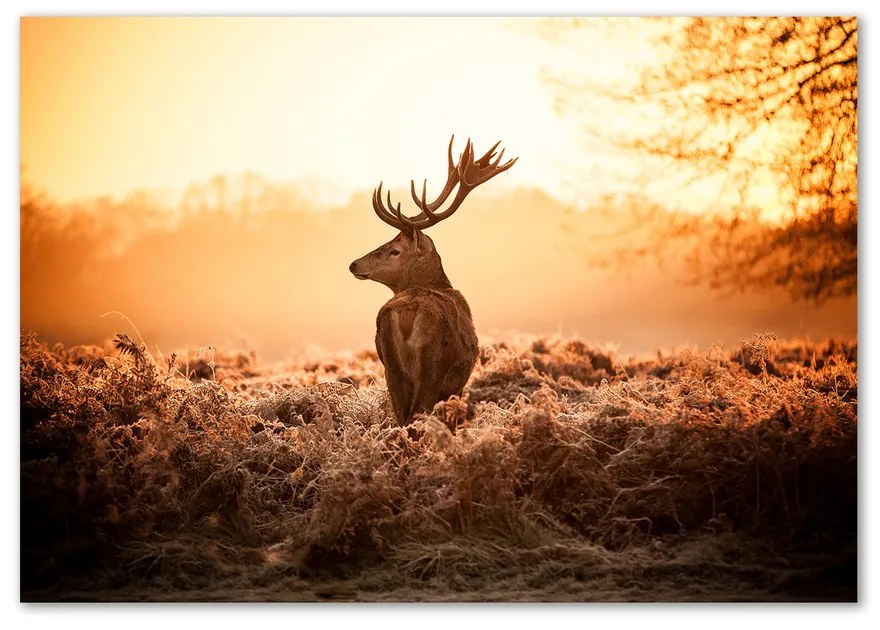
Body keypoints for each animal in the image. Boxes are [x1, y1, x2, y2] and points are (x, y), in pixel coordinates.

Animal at [348, 135, 516, 428]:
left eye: (394, 250)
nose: (354, 264)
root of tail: (406, 312)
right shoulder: (456, 384)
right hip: (432, 365)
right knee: (418, 414)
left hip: (391, 367)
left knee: (402, 416)